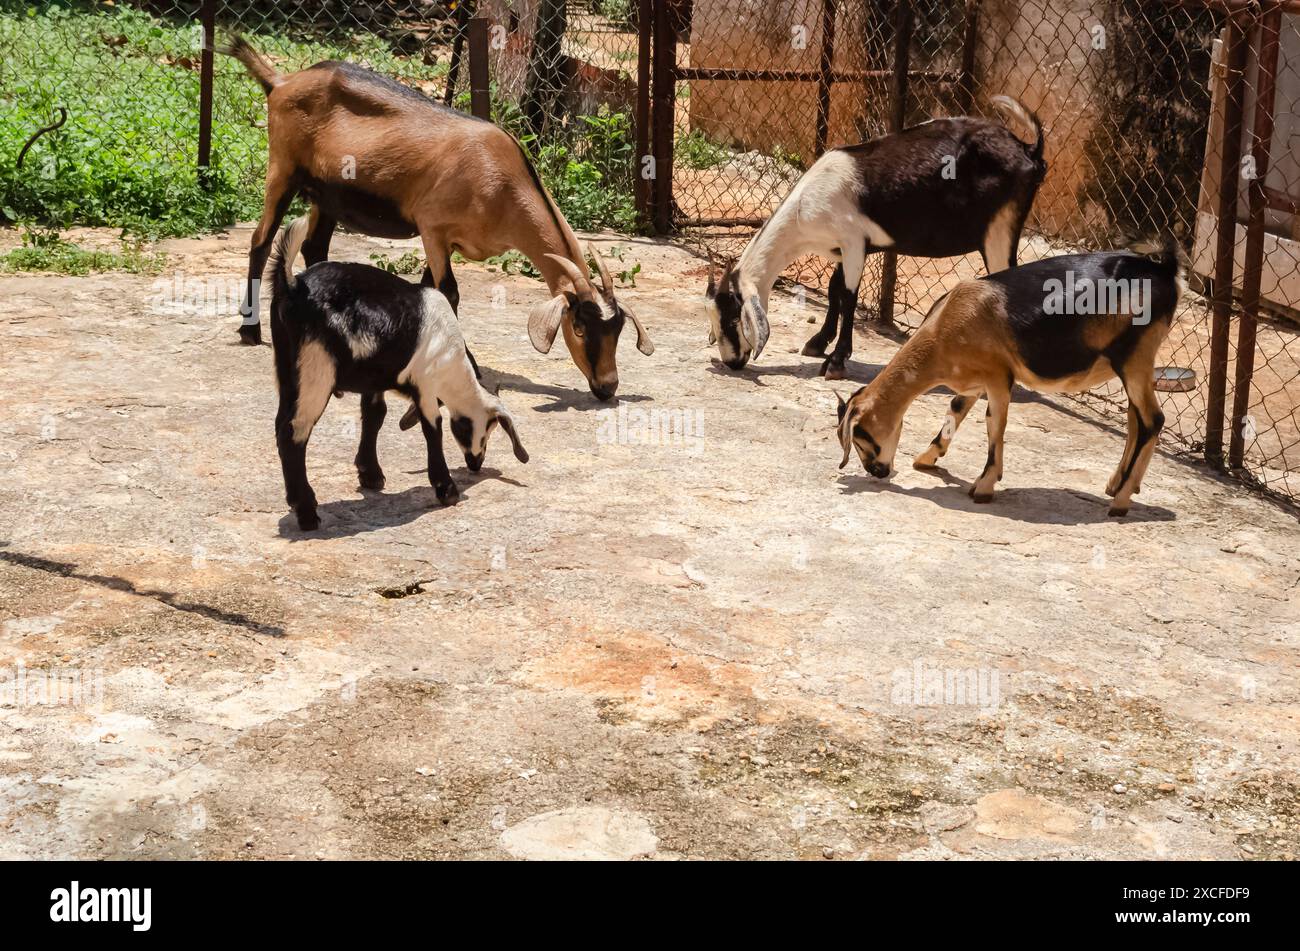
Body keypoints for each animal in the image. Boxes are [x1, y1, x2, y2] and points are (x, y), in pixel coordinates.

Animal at [221, 36, 653, 408]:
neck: (502, 178)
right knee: (261, 241)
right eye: (579, 327)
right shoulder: (433, 228)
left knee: (315, 246)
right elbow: (449, 293)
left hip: (327, 194)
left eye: (618, 332)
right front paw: (470, 368)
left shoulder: (446, 242)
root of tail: (281, 82)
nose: (606, 386)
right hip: (283, 170)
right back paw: (250, 330)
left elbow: (430, 291)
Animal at [267, 217, 529, 531]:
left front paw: (370, 475)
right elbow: (433, 427)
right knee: (294, 430)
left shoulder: (374, 380)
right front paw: (447, 490)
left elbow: (374, 416)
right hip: (316, 369)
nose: (475, 462)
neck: (452, 361)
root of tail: (294, 286)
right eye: (487, 428)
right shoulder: (426, 383)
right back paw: (306, 512)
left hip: (288, 369)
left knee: (281, 423)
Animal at [704, 96, 1045, 383]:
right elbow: (833, 291)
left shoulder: (854, 241)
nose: (731, 362)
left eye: (732, 320)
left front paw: (836, 363)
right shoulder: (840, 249)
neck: (805, 206)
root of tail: (1028, 150)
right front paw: (817, 343)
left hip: (999, 232)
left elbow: (848, 297)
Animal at [835, 241, 1185, 517]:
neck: (947, 325)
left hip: (1134, 357)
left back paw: (1120, 502)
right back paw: (1118, 484)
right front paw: (926, 458)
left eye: (861, 436)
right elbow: (954, 411)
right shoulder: (973, 383)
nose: (876, 471)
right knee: (1136, 419)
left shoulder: (998, 377)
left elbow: (994, 425)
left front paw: (984, 486)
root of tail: (1165, 271)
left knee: (1152, 419)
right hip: (1133, 363)